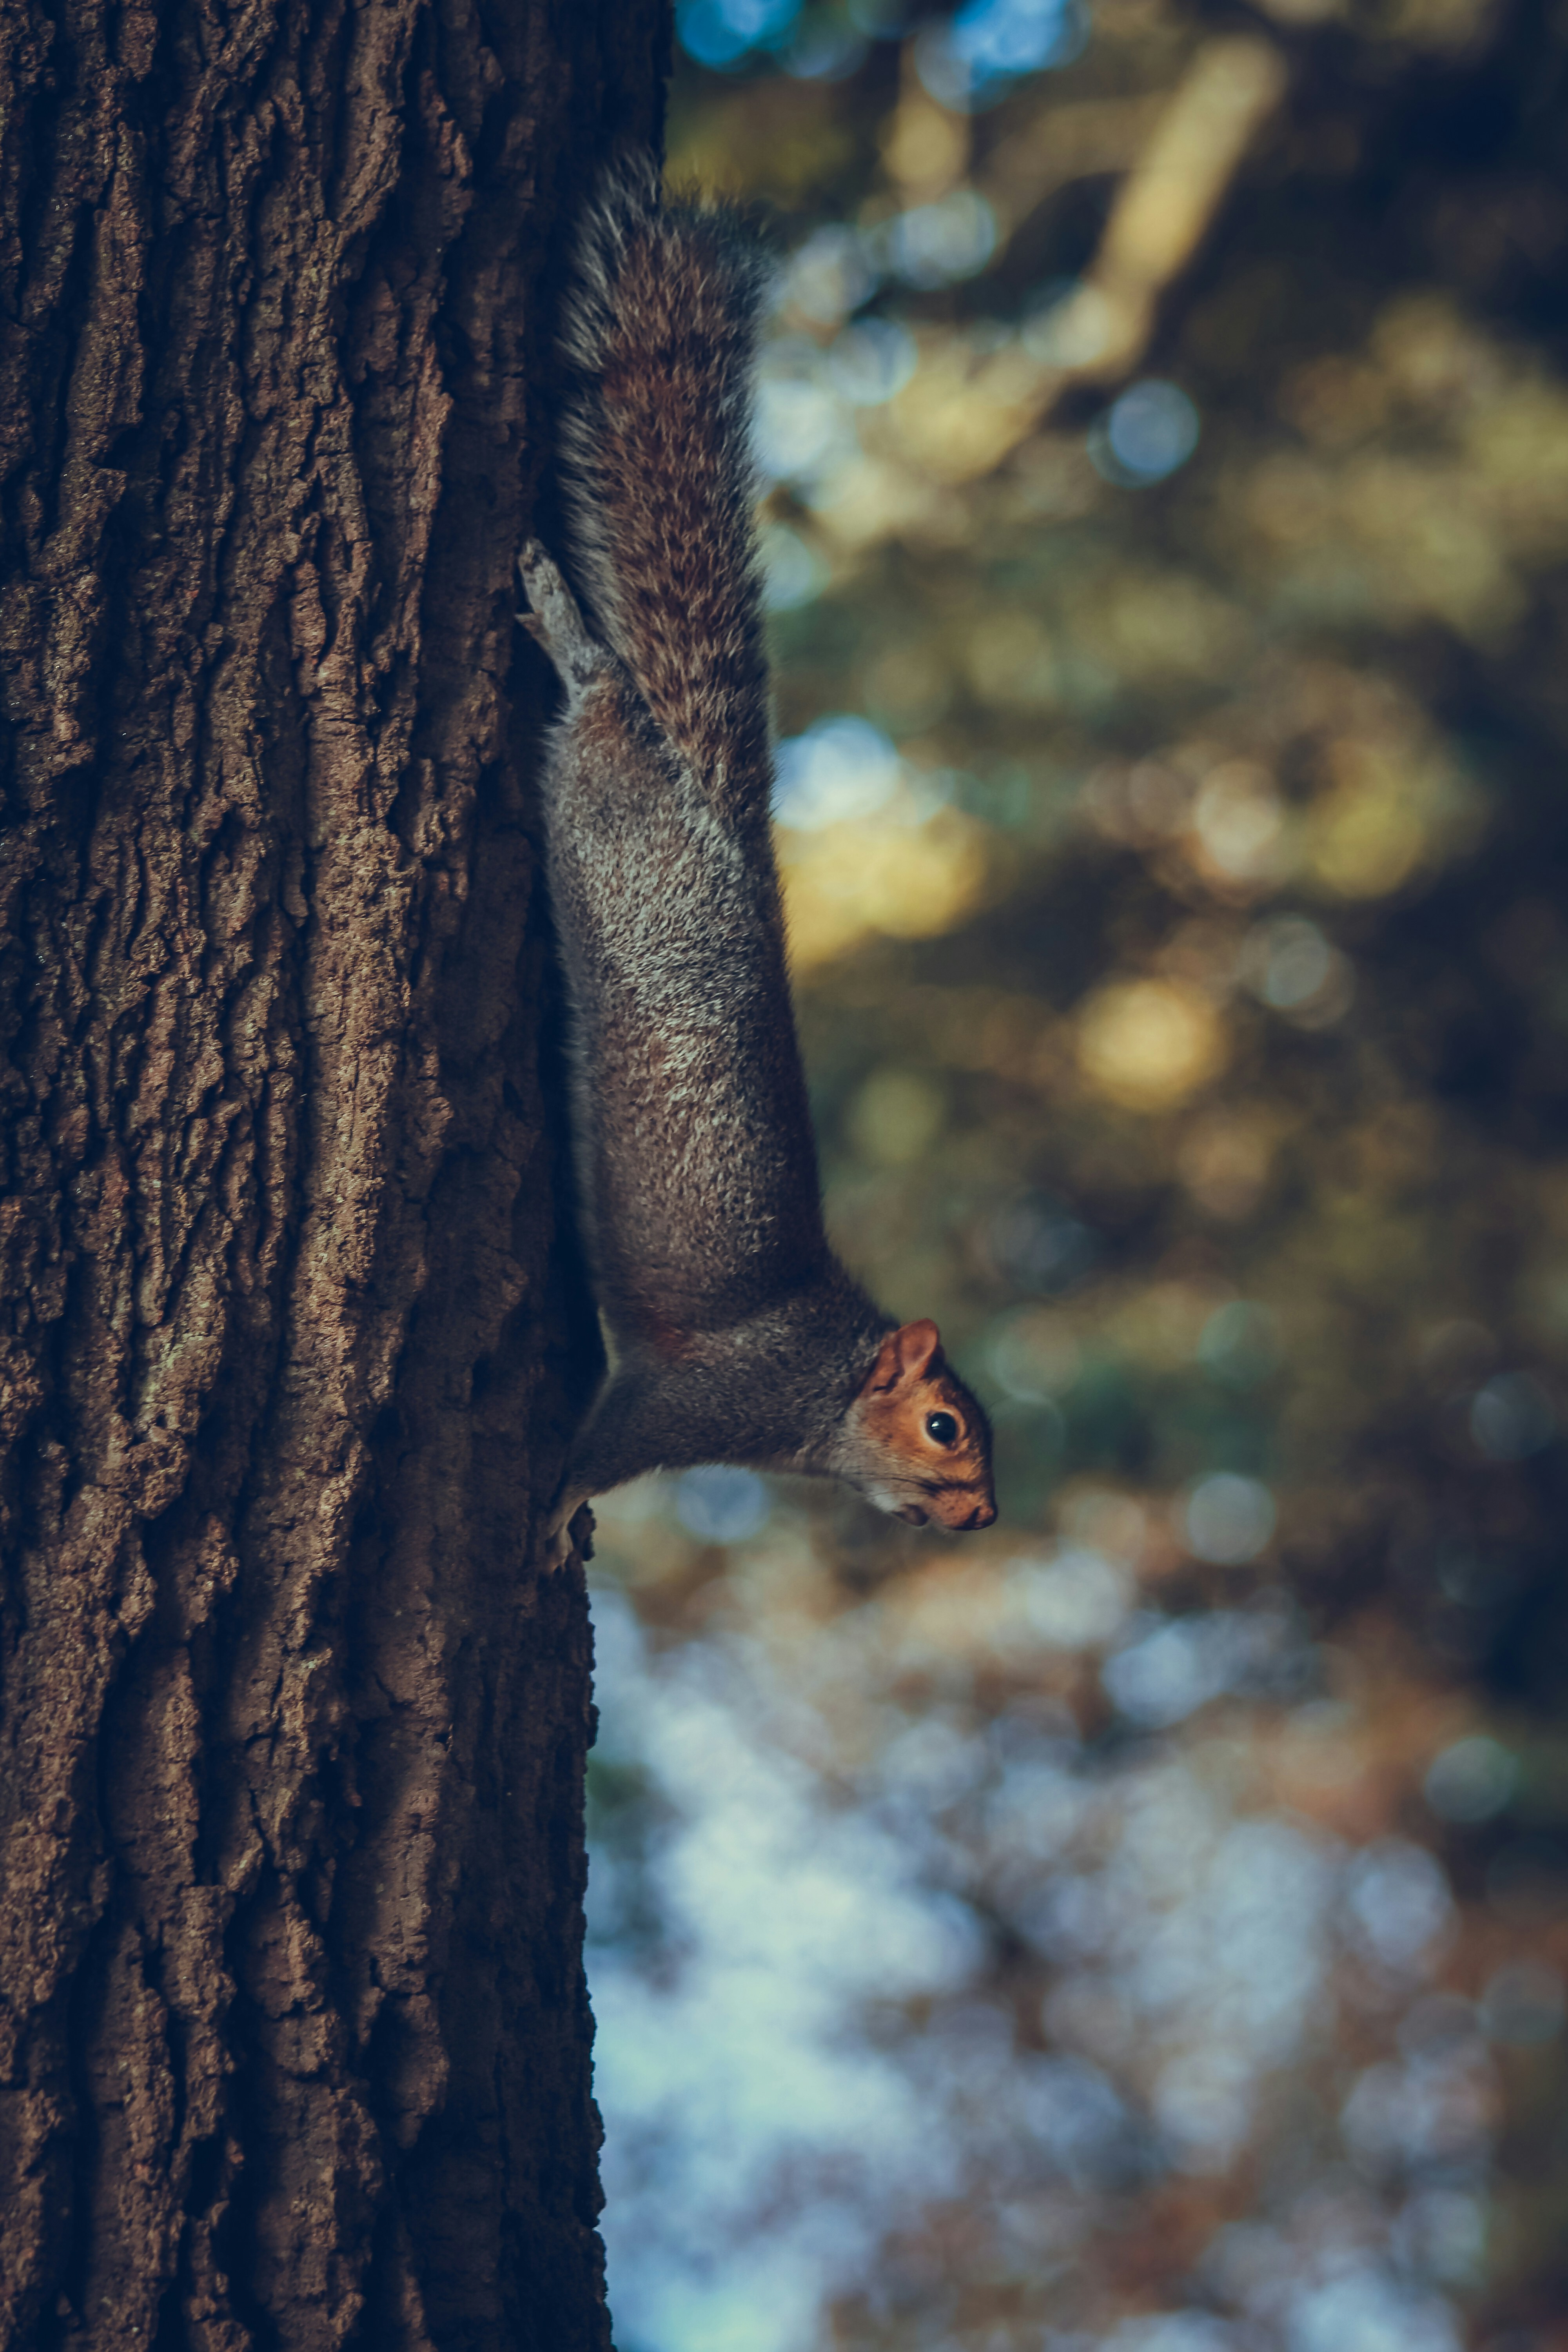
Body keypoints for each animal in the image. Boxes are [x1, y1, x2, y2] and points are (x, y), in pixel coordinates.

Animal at [519, 155, 996, 1571]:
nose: (985, 1515)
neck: (820, 1395)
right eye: (945, 1428)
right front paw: (559, 1517)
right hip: (605, 808)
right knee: (604, 704)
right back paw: (566, 630)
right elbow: (599, 1449)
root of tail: (722, 838)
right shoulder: (693, 1398)